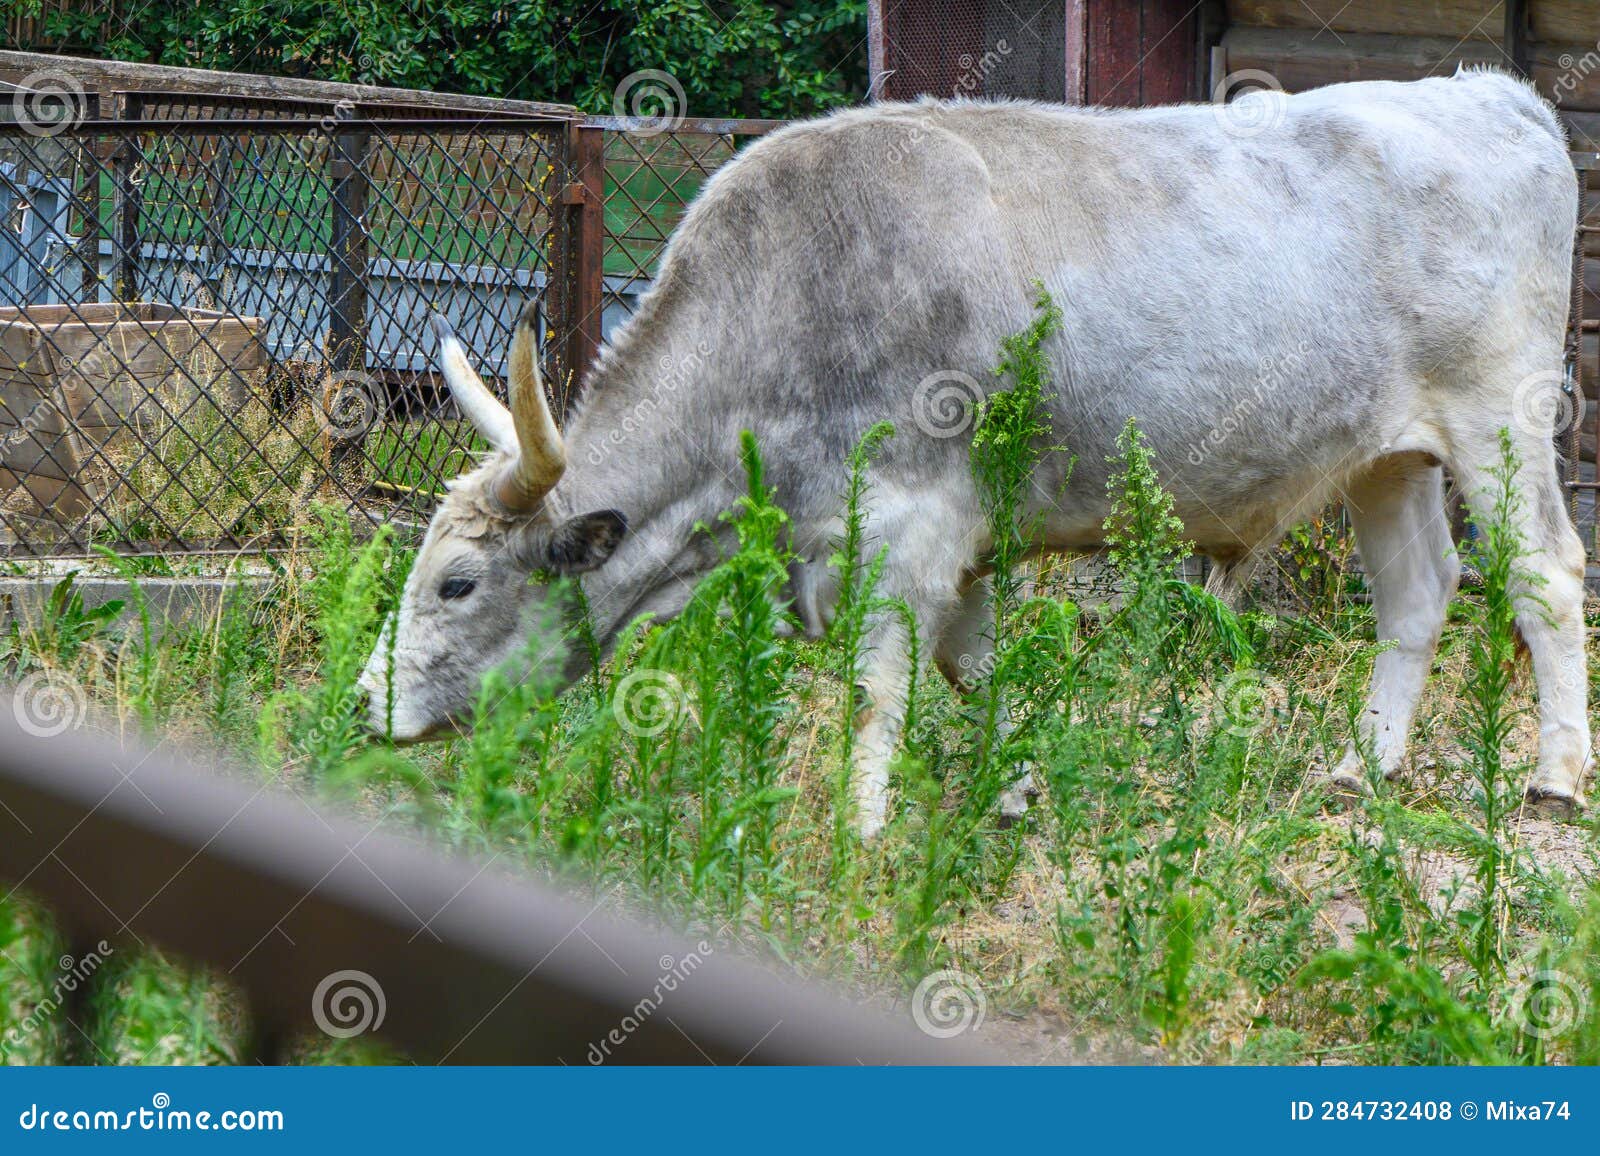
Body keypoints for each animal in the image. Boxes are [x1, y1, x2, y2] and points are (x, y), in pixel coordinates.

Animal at [359, 70, 1590, 837]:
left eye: (457, 581)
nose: (368, 706)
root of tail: (1486, 91)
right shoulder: (958, 545)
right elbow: (976, 668)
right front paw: (1014, 788)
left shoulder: (906, 526)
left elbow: (878, 690)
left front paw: (860, 838)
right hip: (1385, 454)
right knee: (1419, 592)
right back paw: (1357, 768)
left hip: (1499, 416)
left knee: (1545, 575)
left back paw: (1555, 781)